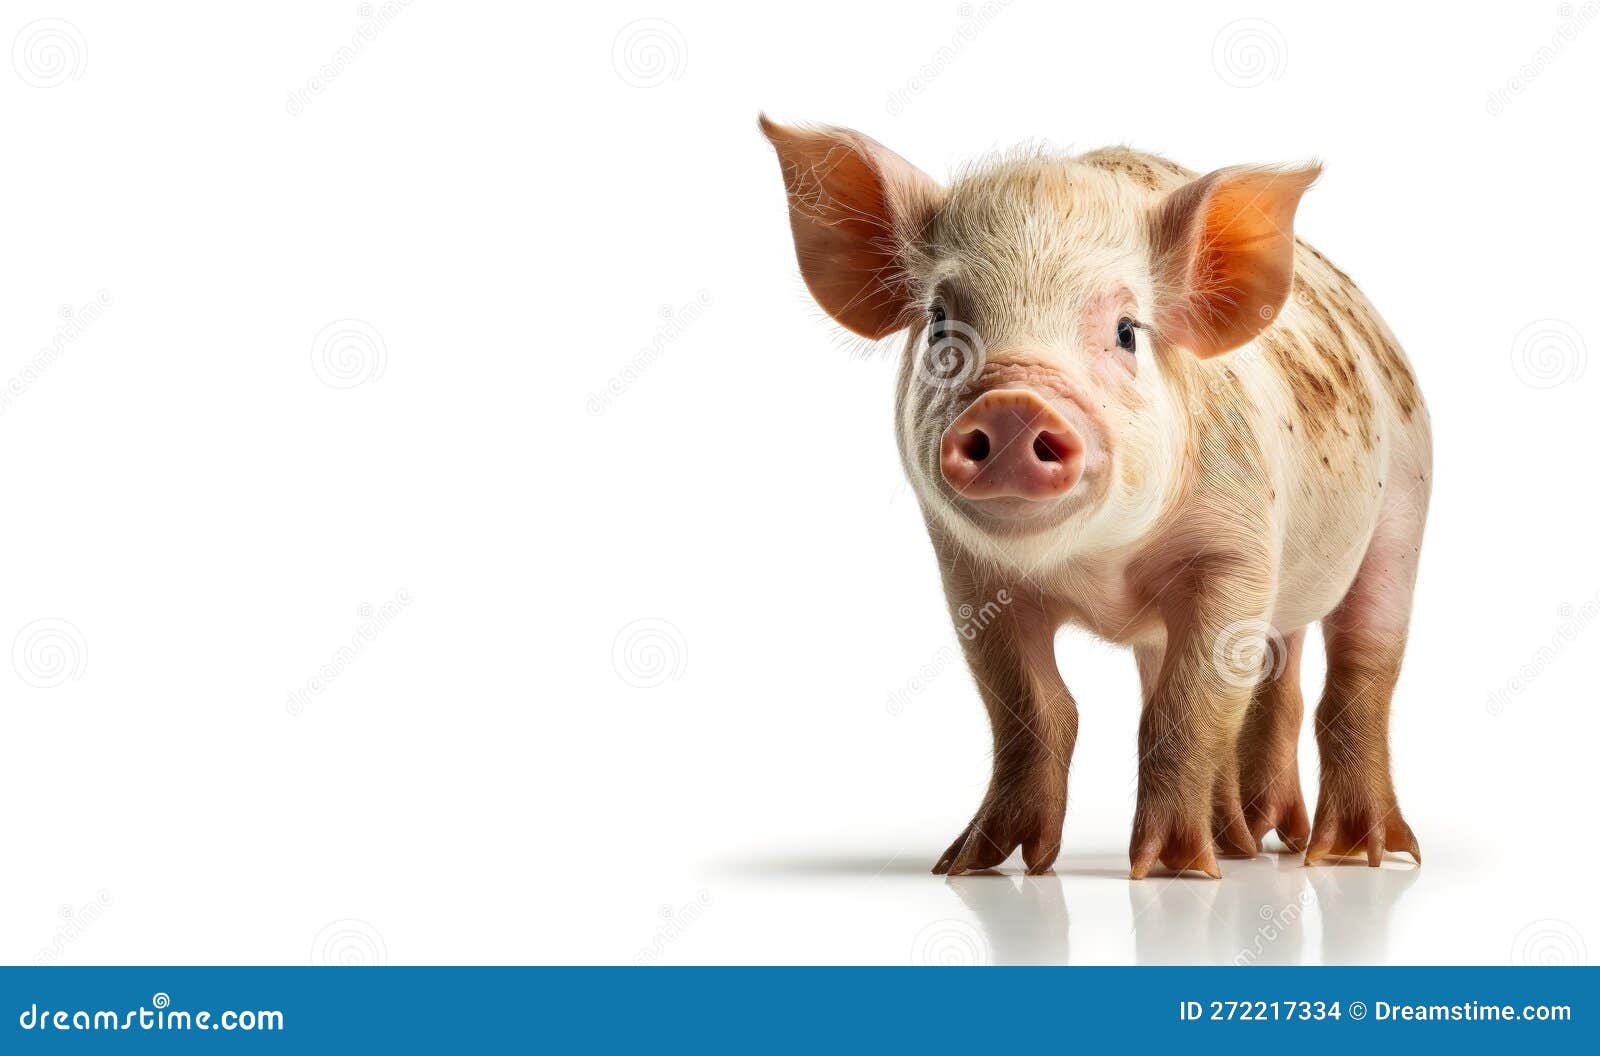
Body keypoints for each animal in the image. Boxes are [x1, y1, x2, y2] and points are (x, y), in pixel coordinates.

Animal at [760, 116, 1428, 878]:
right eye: (939, 326)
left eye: (1127, 331)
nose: (1015, 405)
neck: (1099, 567)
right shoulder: (969, 573)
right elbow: (1034, 708)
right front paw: (978, 863)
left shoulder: (1236, 551)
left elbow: (1187, 705)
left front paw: (1169, 871)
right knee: (1270, 686)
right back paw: (1250, 840)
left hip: (1405, 504)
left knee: (1359, 672)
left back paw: (1344, 855)